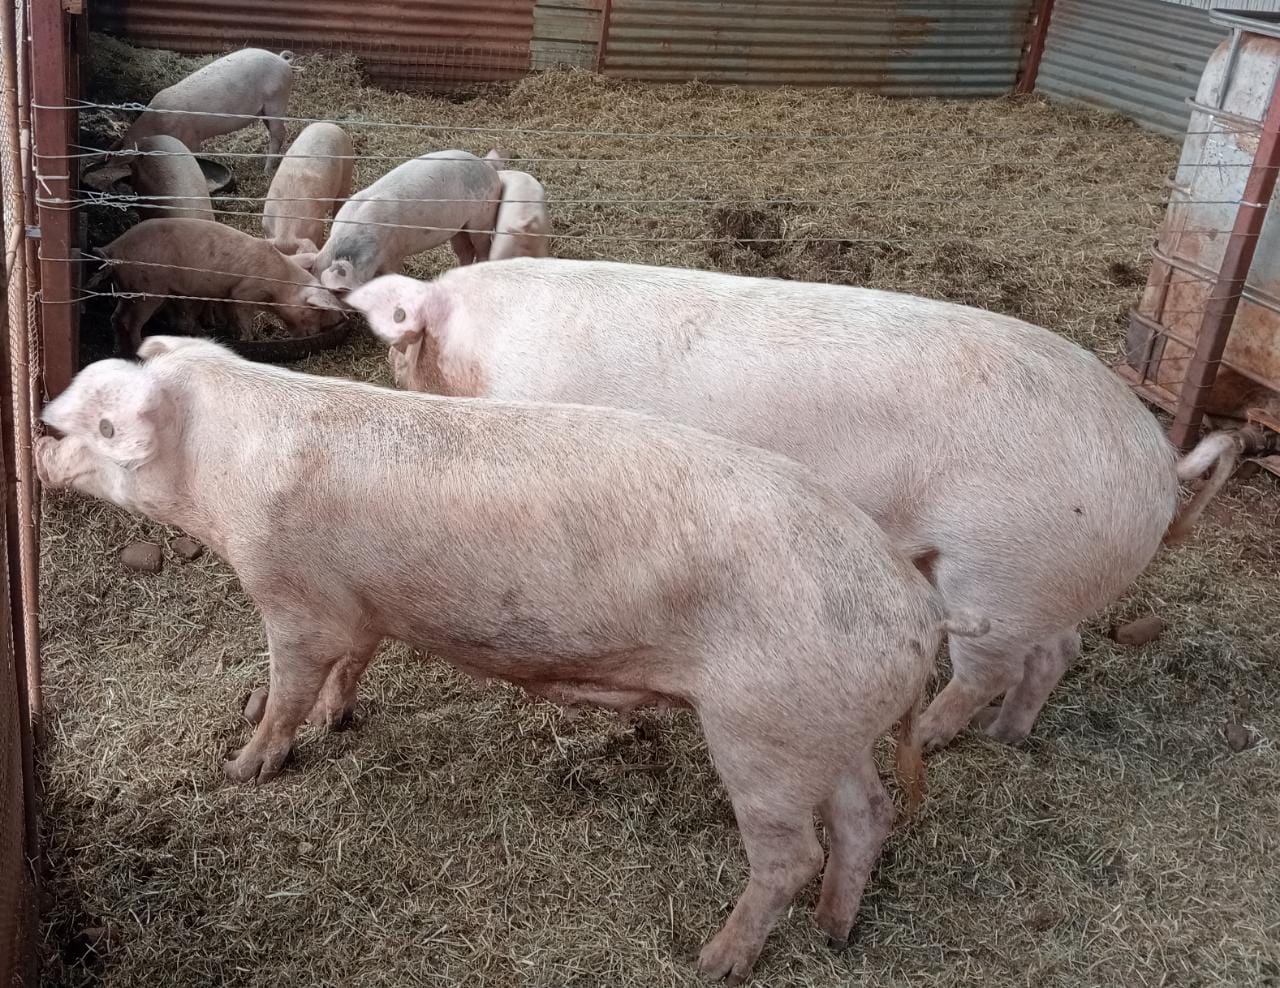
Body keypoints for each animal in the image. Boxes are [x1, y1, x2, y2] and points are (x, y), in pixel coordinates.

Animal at [35, 336, 989, 982]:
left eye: (92, 422)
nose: (38, 435)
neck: (217, 474)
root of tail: (916, 606)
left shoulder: (292, 598)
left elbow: (290, 685)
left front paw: (243, 766)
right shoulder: (365, 605)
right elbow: (353, 666)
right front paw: (338, 718)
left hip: (764, 729)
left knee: (791, 855)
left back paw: (713, 960)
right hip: (827, 726)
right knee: (867, 815)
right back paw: (835, 932)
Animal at [90, 218, 344, 353]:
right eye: (315, 310)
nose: (315, 333)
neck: (277, 284)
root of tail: (113, 249)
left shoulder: (227, 293)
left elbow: (229, 313)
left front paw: (227, 330)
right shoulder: (244, 291)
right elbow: (244, 317)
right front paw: (248, 339)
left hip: (126, 288)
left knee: (116, 318)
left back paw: (118, 350)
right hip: (149, 289)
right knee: (130, 322)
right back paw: (138, 350)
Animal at [115, 48, 294, 174]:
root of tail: (281, 59)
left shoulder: (190, 137)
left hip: (277, 100)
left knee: (278, 133)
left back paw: (266, 170)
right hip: (265, 110)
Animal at [311, 150, 502, 291]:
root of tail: (487, 163)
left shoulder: (395, 253)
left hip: (483, 218)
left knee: (483, 248)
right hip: (459, 228)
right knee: (466, 251)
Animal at [346, 259, 1244, 753]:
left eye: (404, 344)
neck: (482, 354)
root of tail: (1159, 465)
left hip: (1000, 570)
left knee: (987, 667)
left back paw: (937, 736)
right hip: (1043, 577)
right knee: (1057, 653)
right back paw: (1009, 738)